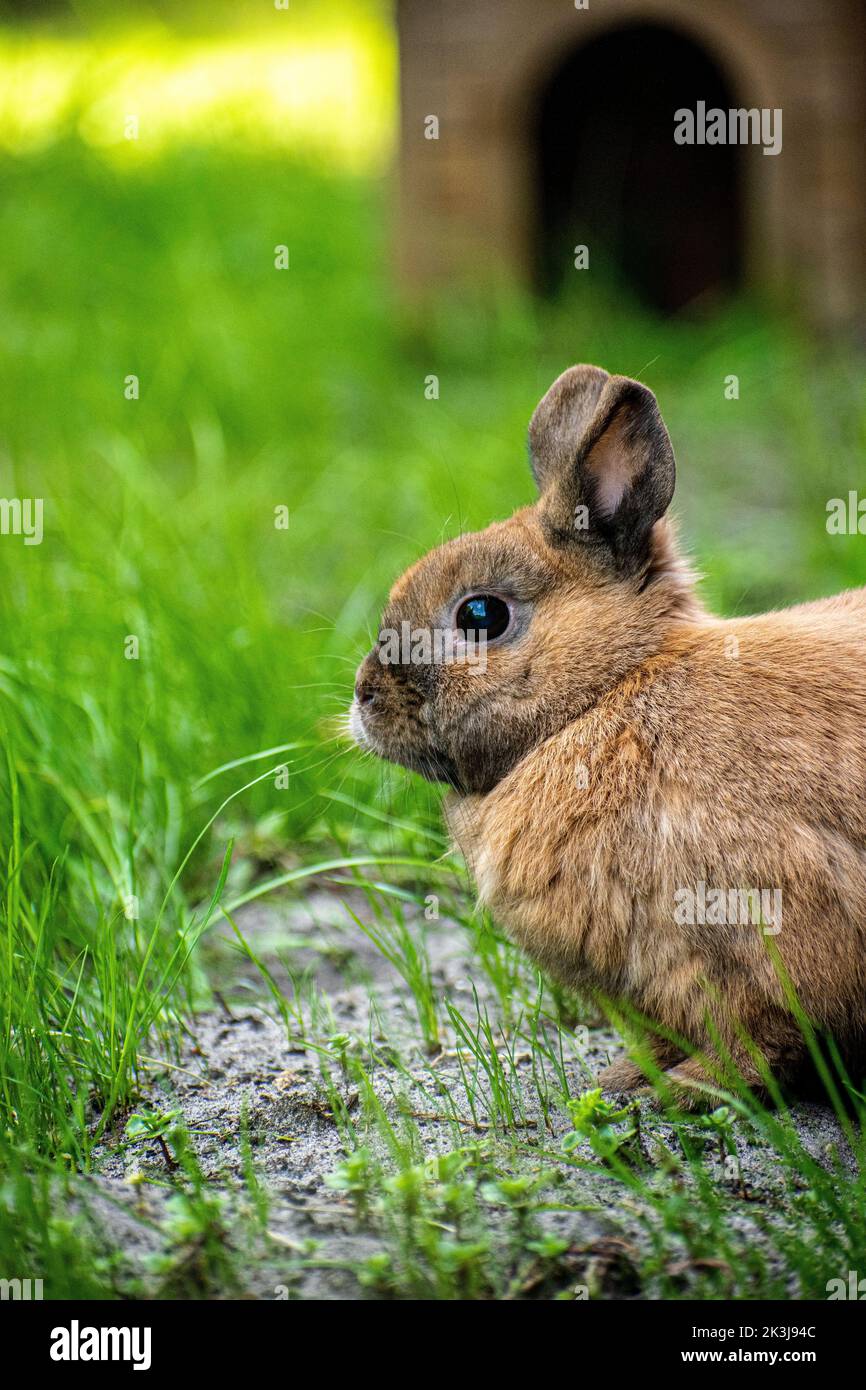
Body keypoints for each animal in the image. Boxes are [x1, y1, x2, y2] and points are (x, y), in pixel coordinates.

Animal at [349, 364, 866, 1103]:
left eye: (480, 614)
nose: (363, 696)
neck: (607, 692)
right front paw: (628, 1078)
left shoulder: (763, 934)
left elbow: (764, 1040)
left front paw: (678, 1090)